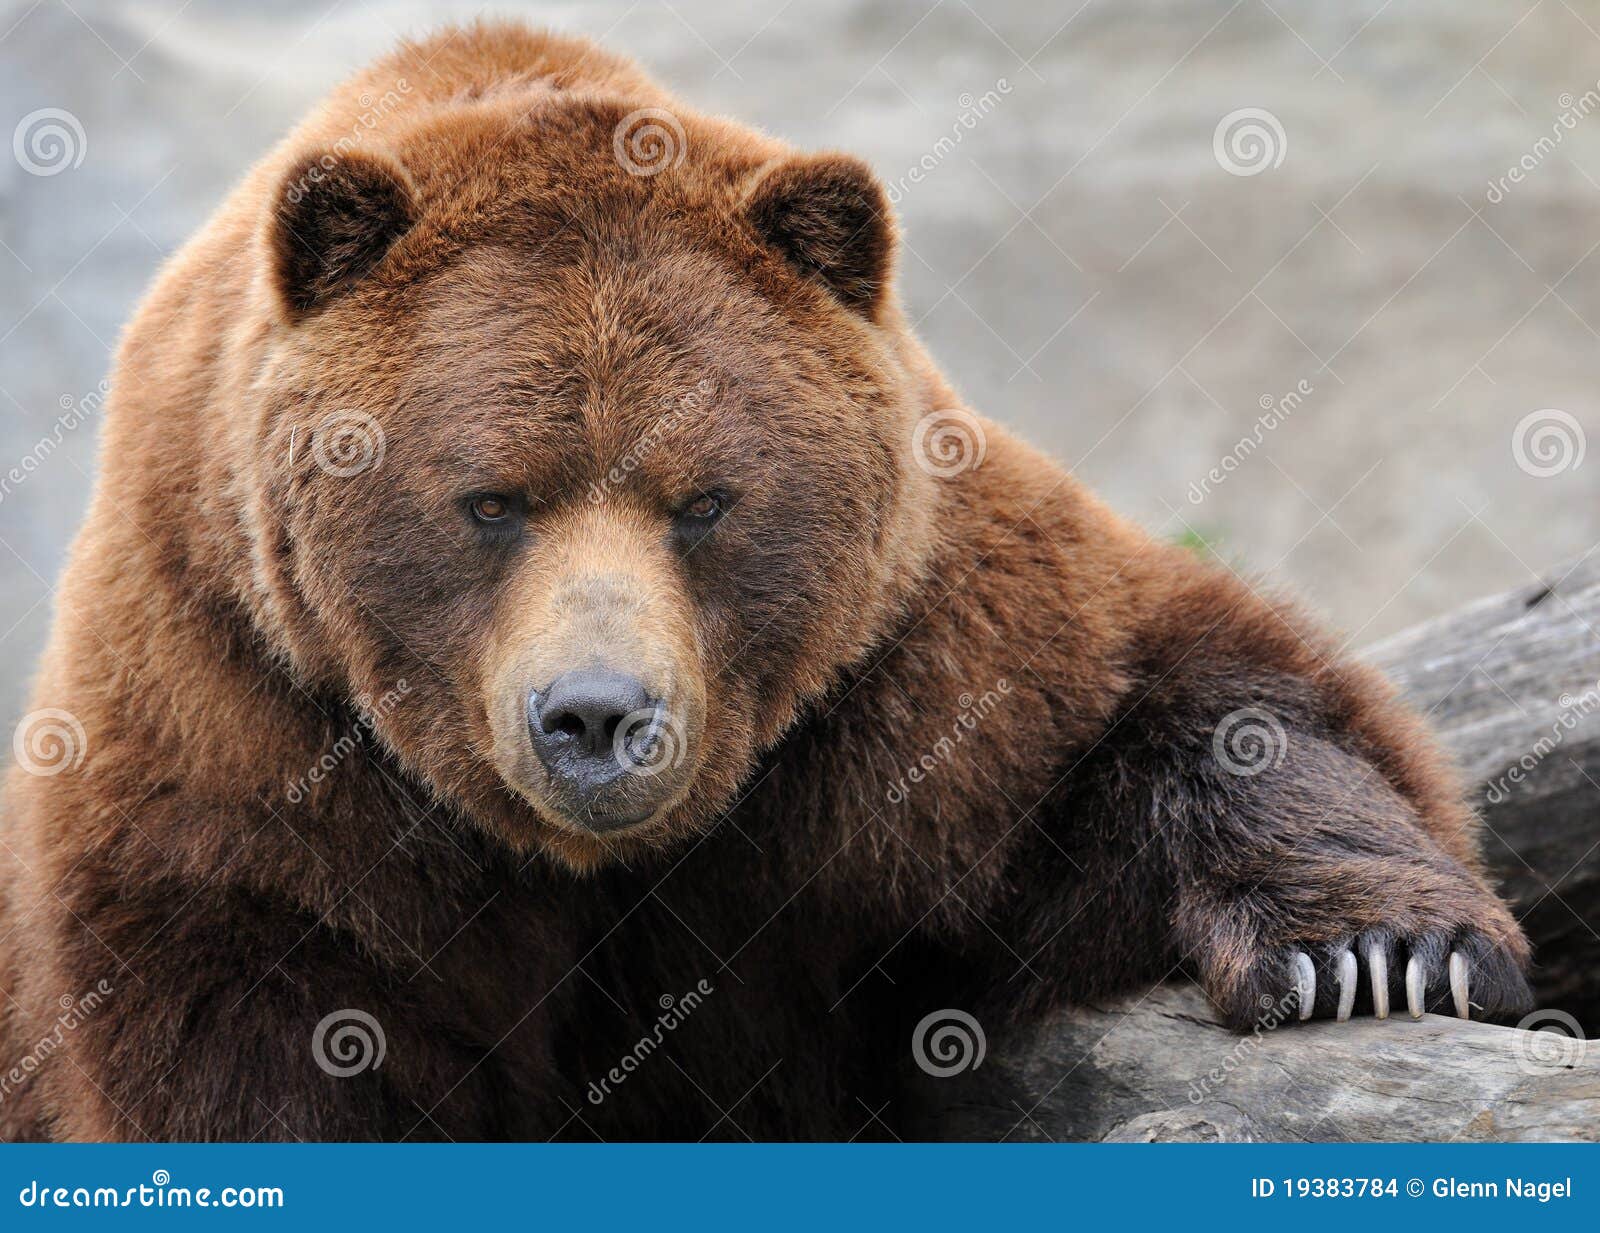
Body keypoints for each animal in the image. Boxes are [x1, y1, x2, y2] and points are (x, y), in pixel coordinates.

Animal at [0, 21, 1531, 1141]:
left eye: (706, 501)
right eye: (490, 499)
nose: (598, 716)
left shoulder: (908, 670)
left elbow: (1179, 701)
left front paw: (1375, 953)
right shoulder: (244, 721)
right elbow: (261, 1025)